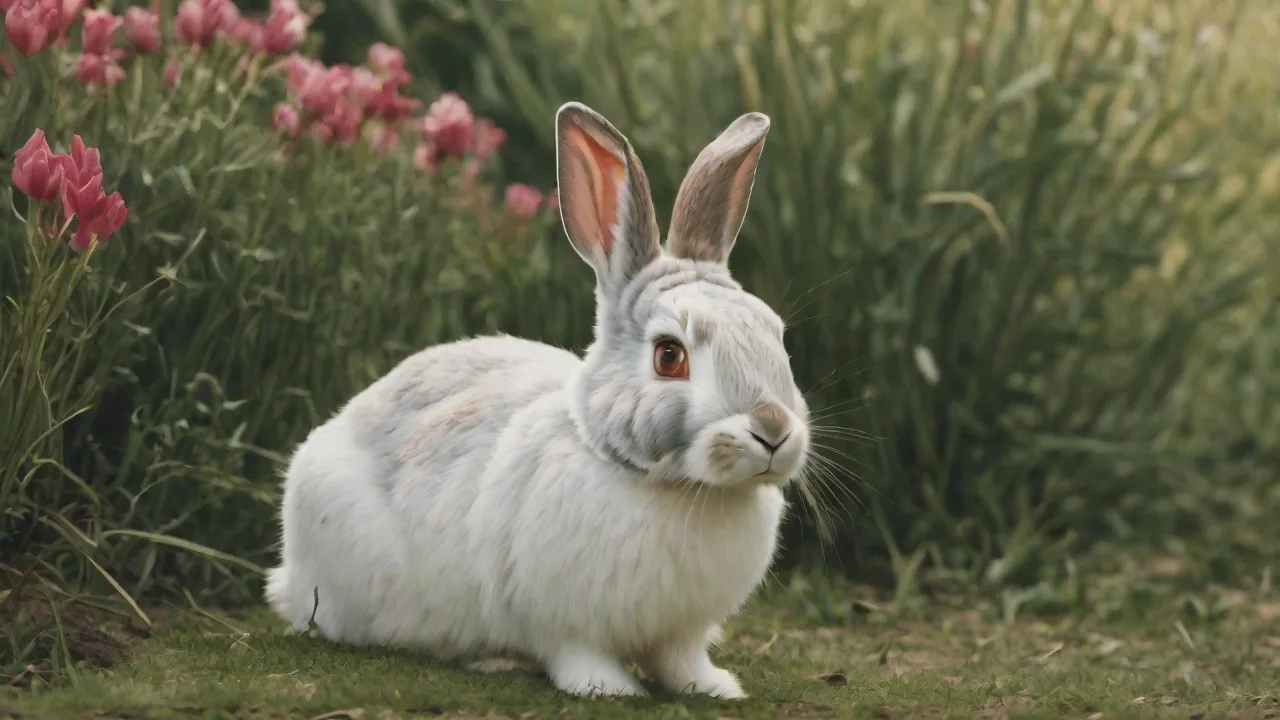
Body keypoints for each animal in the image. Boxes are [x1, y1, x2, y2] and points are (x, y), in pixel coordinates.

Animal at [265, 101, 811, 700]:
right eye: (670, 356)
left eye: (776, 334)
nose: (773, 428)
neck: (674, 486)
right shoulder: (565, 621)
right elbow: (579, 654)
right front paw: (610, 690)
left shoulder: (681, 633)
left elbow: (681, 660)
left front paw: (715, 688)